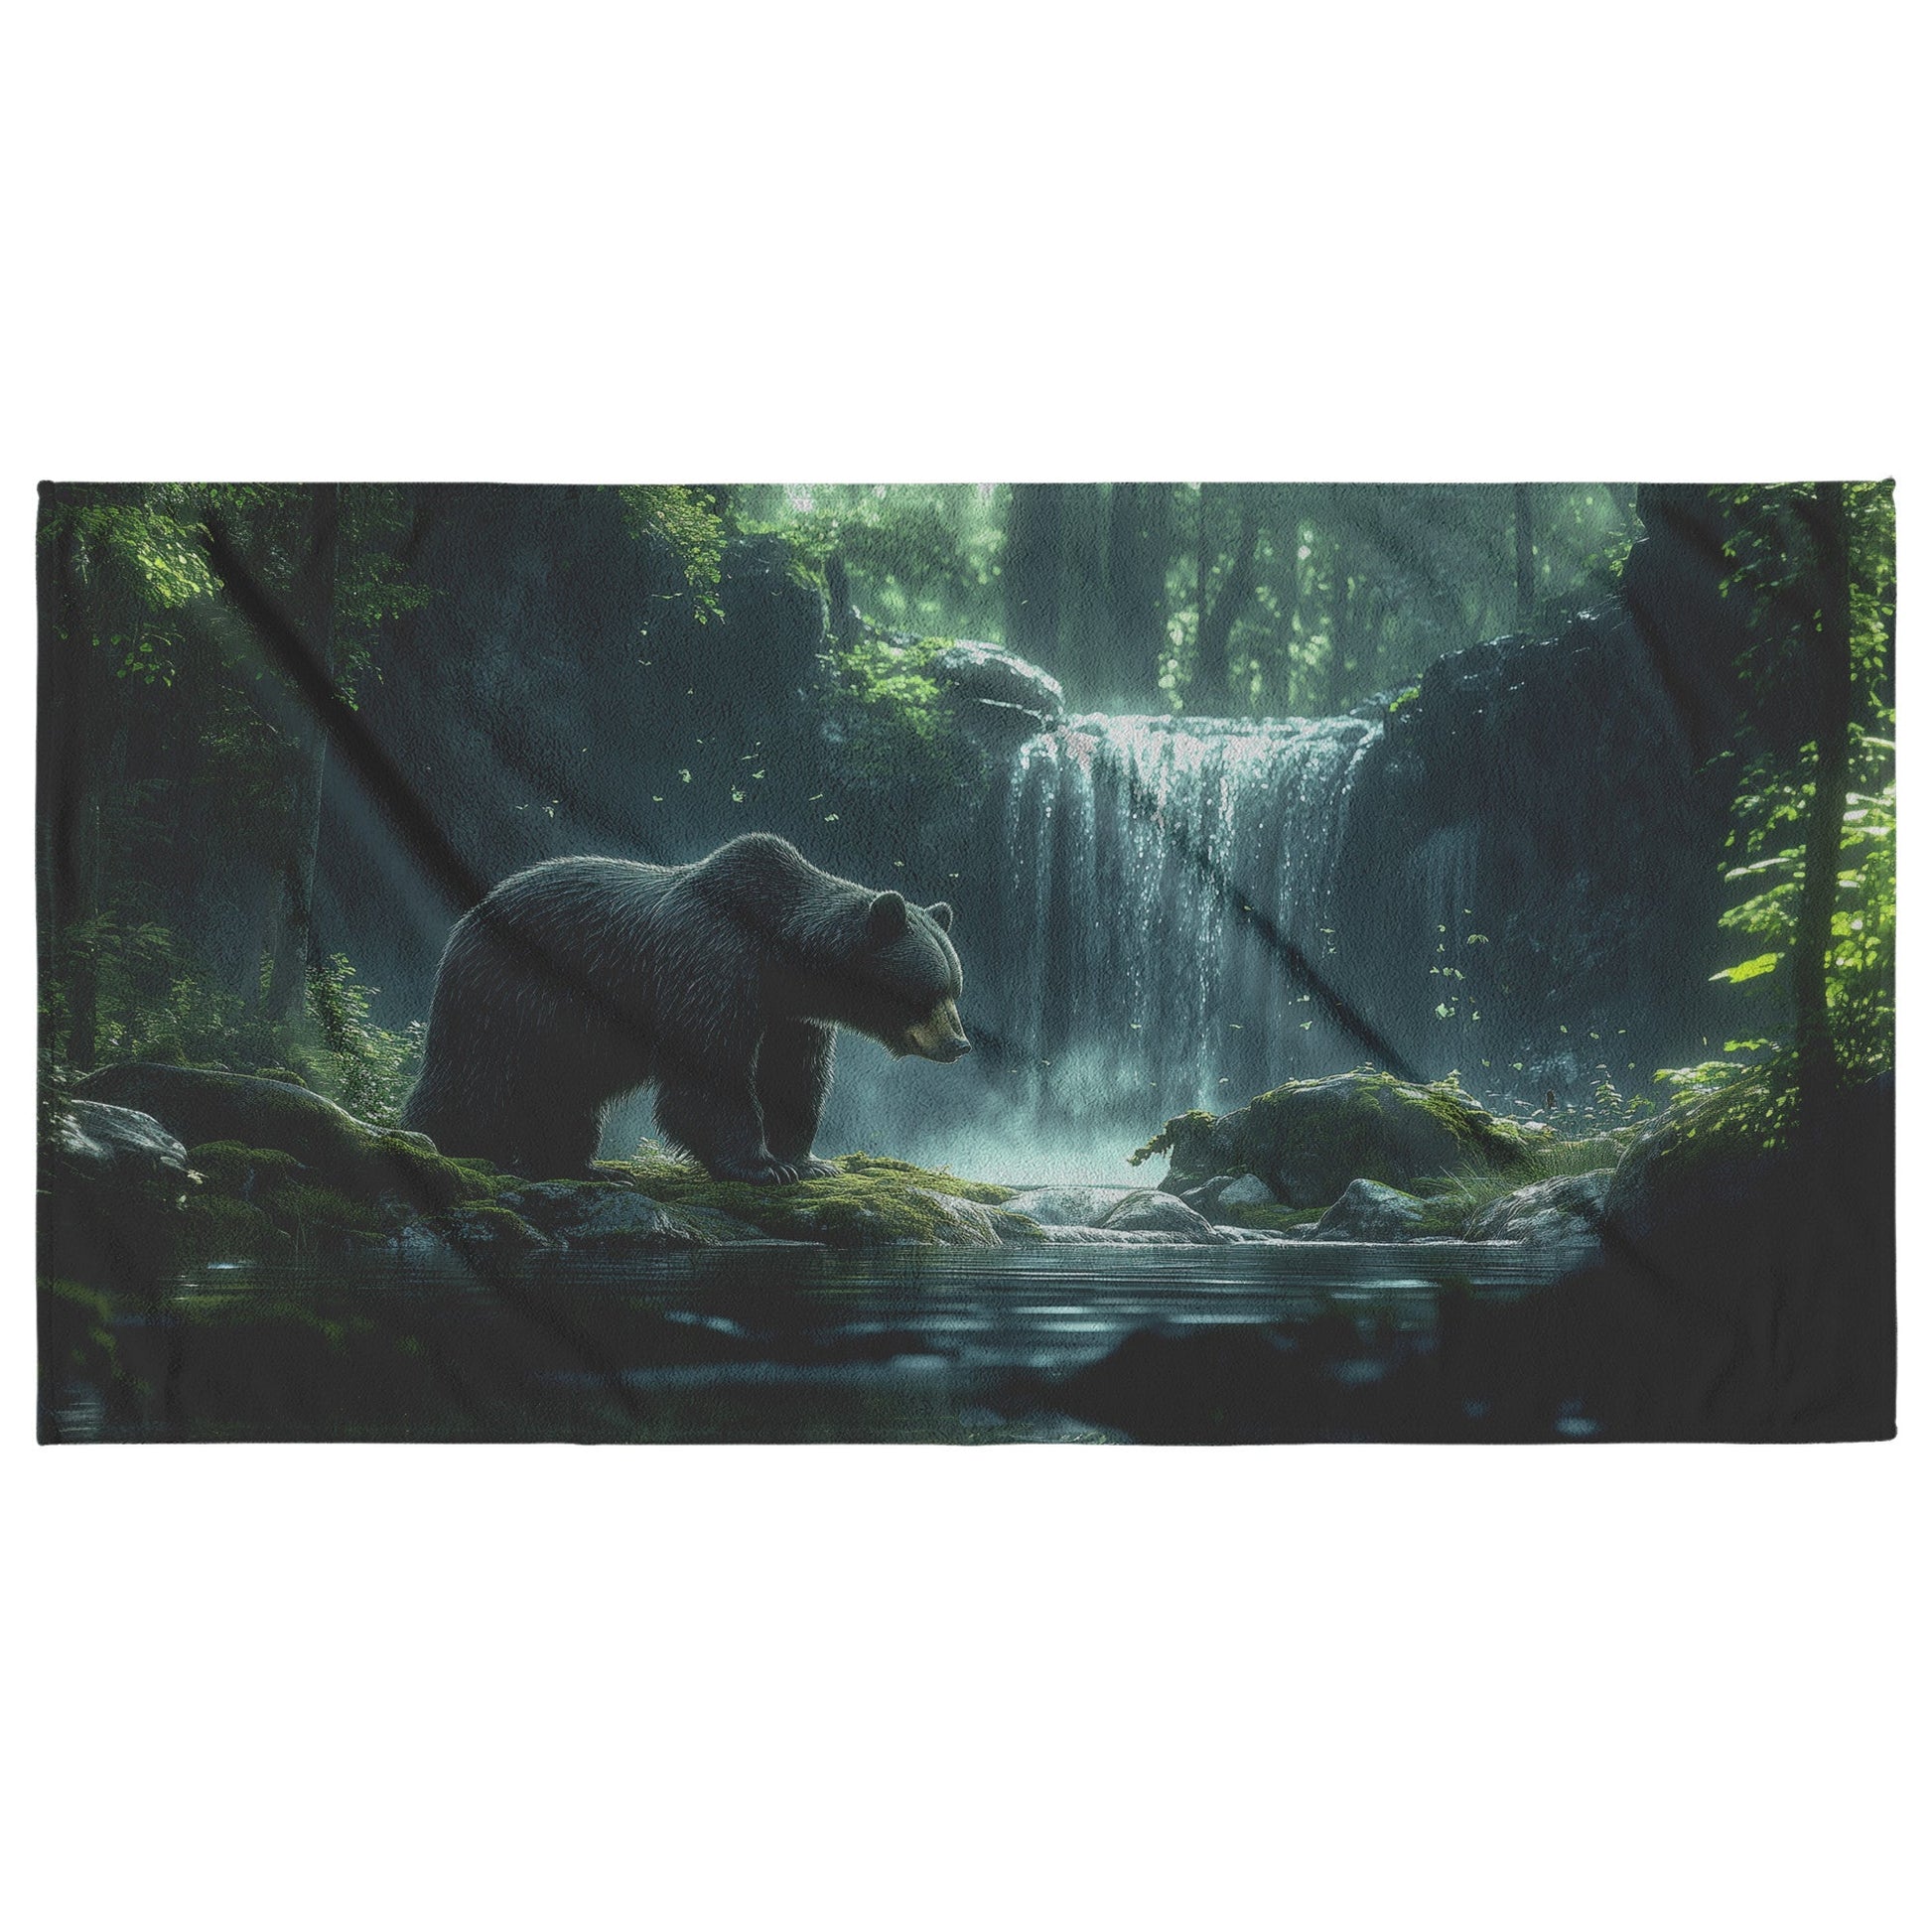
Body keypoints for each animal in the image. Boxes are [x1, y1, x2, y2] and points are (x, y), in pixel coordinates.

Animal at [400, 833, 970, 1182]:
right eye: (928, 990)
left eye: (954, 988)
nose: (959, 1043)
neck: (781, 957)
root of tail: (469, 917)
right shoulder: (710, 964)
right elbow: (709, 1073)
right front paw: (761, 1165)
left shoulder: (791, 1013)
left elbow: (795, 1076)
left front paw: (809, 1161)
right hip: (510, 995)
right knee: (476, 1078)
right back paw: (442, 1144)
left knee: (567, 1096)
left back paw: (583, 1165)